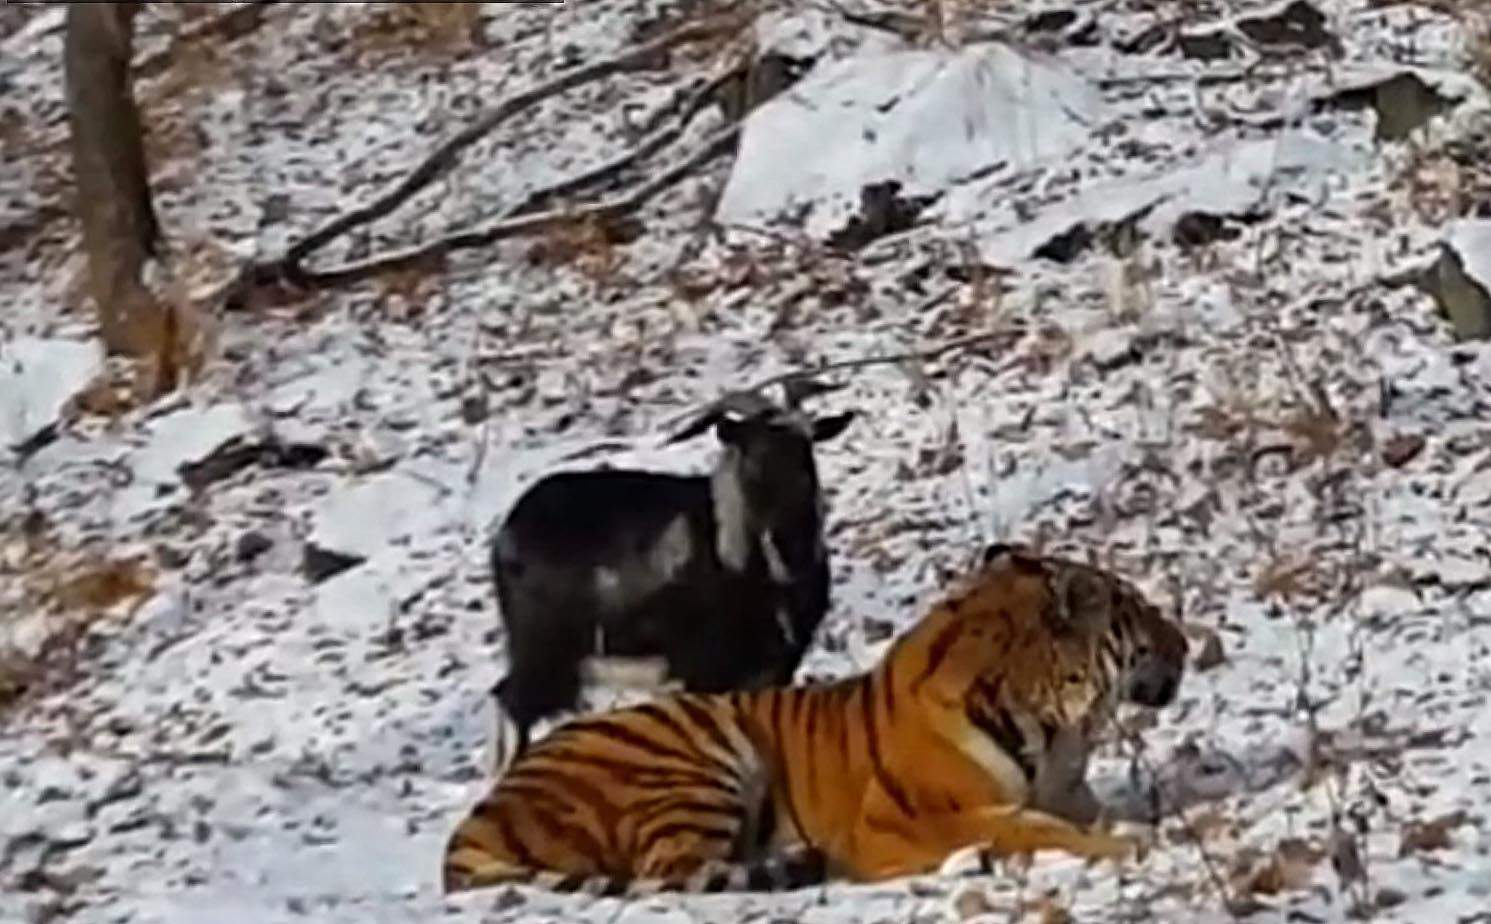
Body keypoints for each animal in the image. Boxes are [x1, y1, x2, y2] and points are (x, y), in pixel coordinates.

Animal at [442, 544, 1188, 897]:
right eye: (1140, 613)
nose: (1185, 641)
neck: (1056, 724)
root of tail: (476, 819)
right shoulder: (902, 820)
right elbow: (1028, 827)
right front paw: (1125, 847)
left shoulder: (1069, 788)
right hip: (695, 758)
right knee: (673, 867)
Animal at [488, 380, 855, 759]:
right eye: (751, 459)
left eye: (807, 455)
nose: (793, 548)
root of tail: (507, 531)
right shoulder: (705, 672)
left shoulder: (774, 670)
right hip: (544, 653)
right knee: (510, 703)